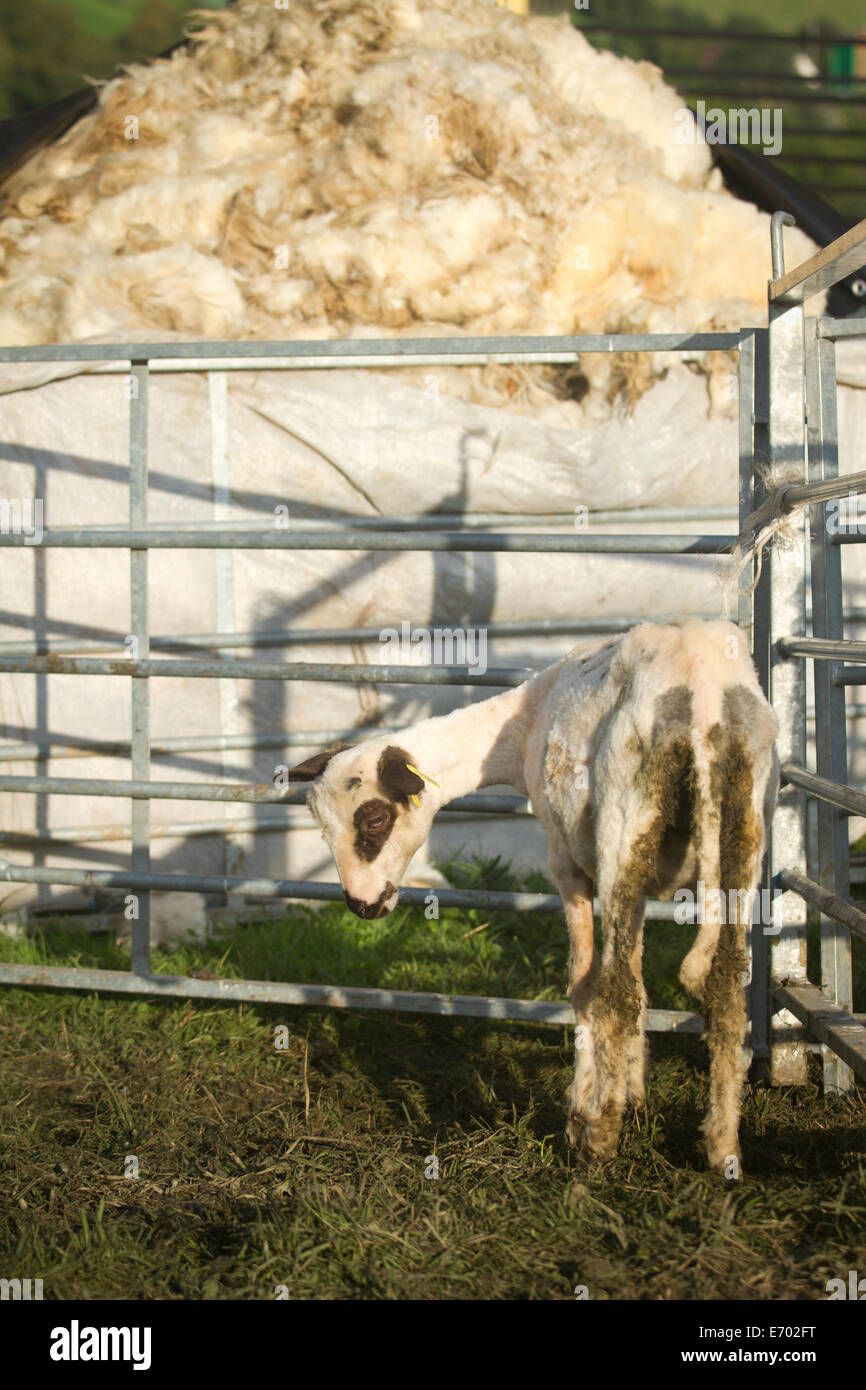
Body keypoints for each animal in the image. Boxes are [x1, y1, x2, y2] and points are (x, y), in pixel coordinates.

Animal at [289, 618, 779, 1173]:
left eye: (375, 819)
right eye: (322, 829)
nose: (361, 904)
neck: (521, 723)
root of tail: (703, 695)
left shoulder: (568, 864)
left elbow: (585, 984)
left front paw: (585, 1108)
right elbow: (638, 975)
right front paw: (631, 1092)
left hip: (625, 827)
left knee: (616, 993)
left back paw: (599, 1141)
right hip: (743, 835)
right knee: (724, 987)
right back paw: (722, 1147)